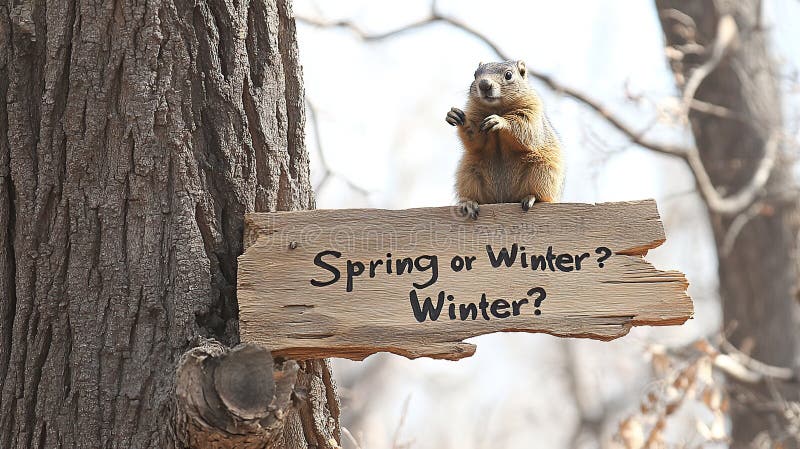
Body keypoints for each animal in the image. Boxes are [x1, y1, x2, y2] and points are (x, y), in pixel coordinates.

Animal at [446, 60, 564, 219]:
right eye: (475, 74)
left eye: (508, 75)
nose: (484, 84)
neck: (498, 108)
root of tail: (504, 199)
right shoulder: (475, 115)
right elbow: (476, 139)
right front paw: (456, 116)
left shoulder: (532, 110)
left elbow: (526, 128)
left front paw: (500, 121)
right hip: (469, 174)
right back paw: (469, 203)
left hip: (542, 171)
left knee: (540, 193)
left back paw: (531, 197)